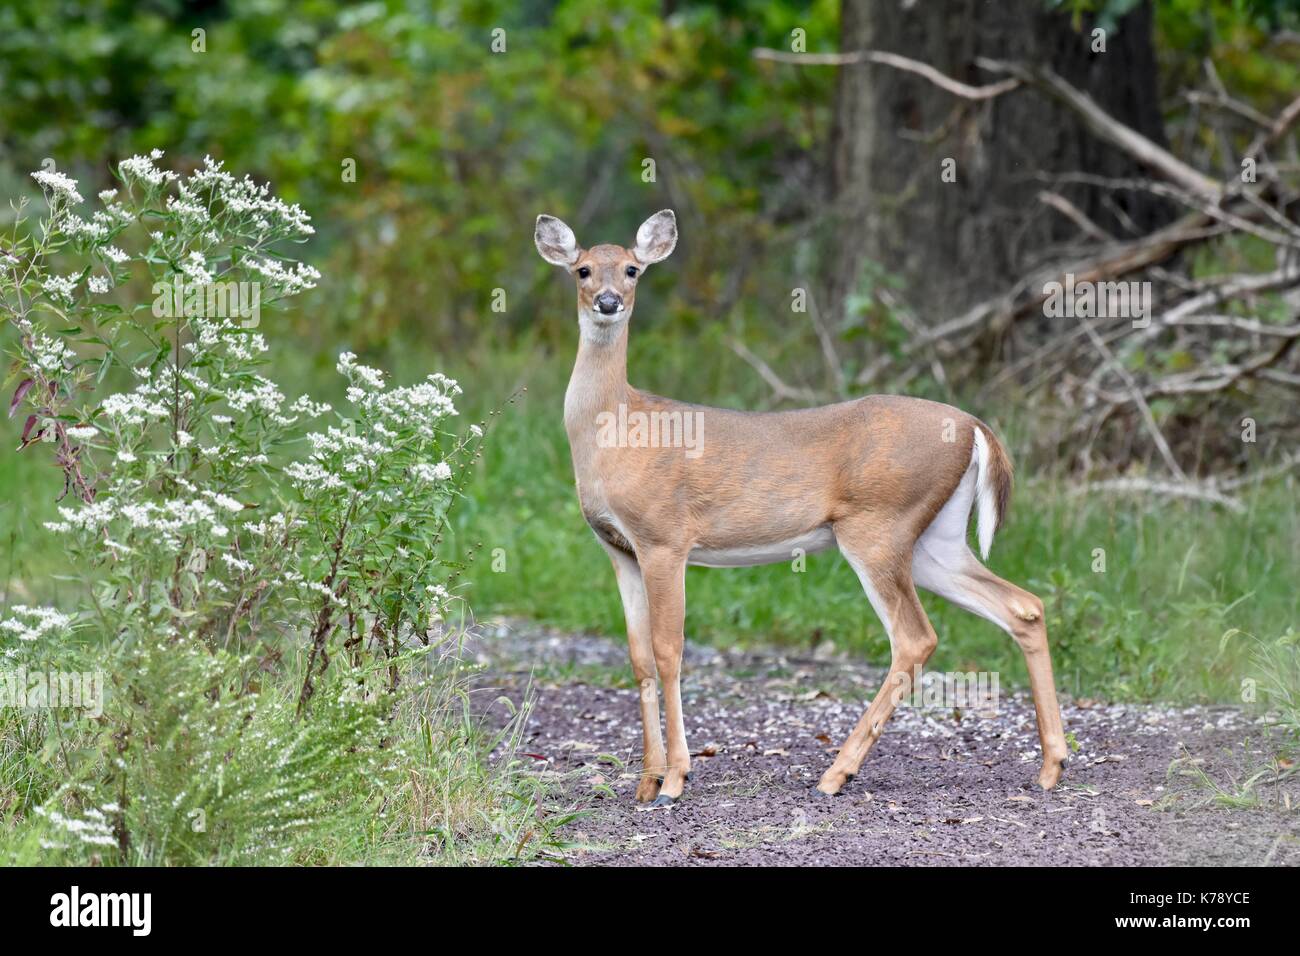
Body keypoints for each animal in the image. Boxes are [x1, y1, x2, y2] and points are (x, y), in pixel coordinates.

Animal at [535, 209, 1069, 808]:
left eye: (631, 269)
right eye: (582, 269)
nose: (608, 301)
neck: (618, 428)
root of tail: (976, 426)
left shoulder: (666, 537)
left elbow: (669, 651)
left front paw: (675, 778)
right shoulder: (619, 548)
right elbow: (639, 657)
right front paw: (646, 782)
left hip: (877, 526)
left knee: (915, 637)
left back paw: (838, 772)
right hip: (938, 538)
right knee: (1023, 606)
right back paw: (1052, 765)